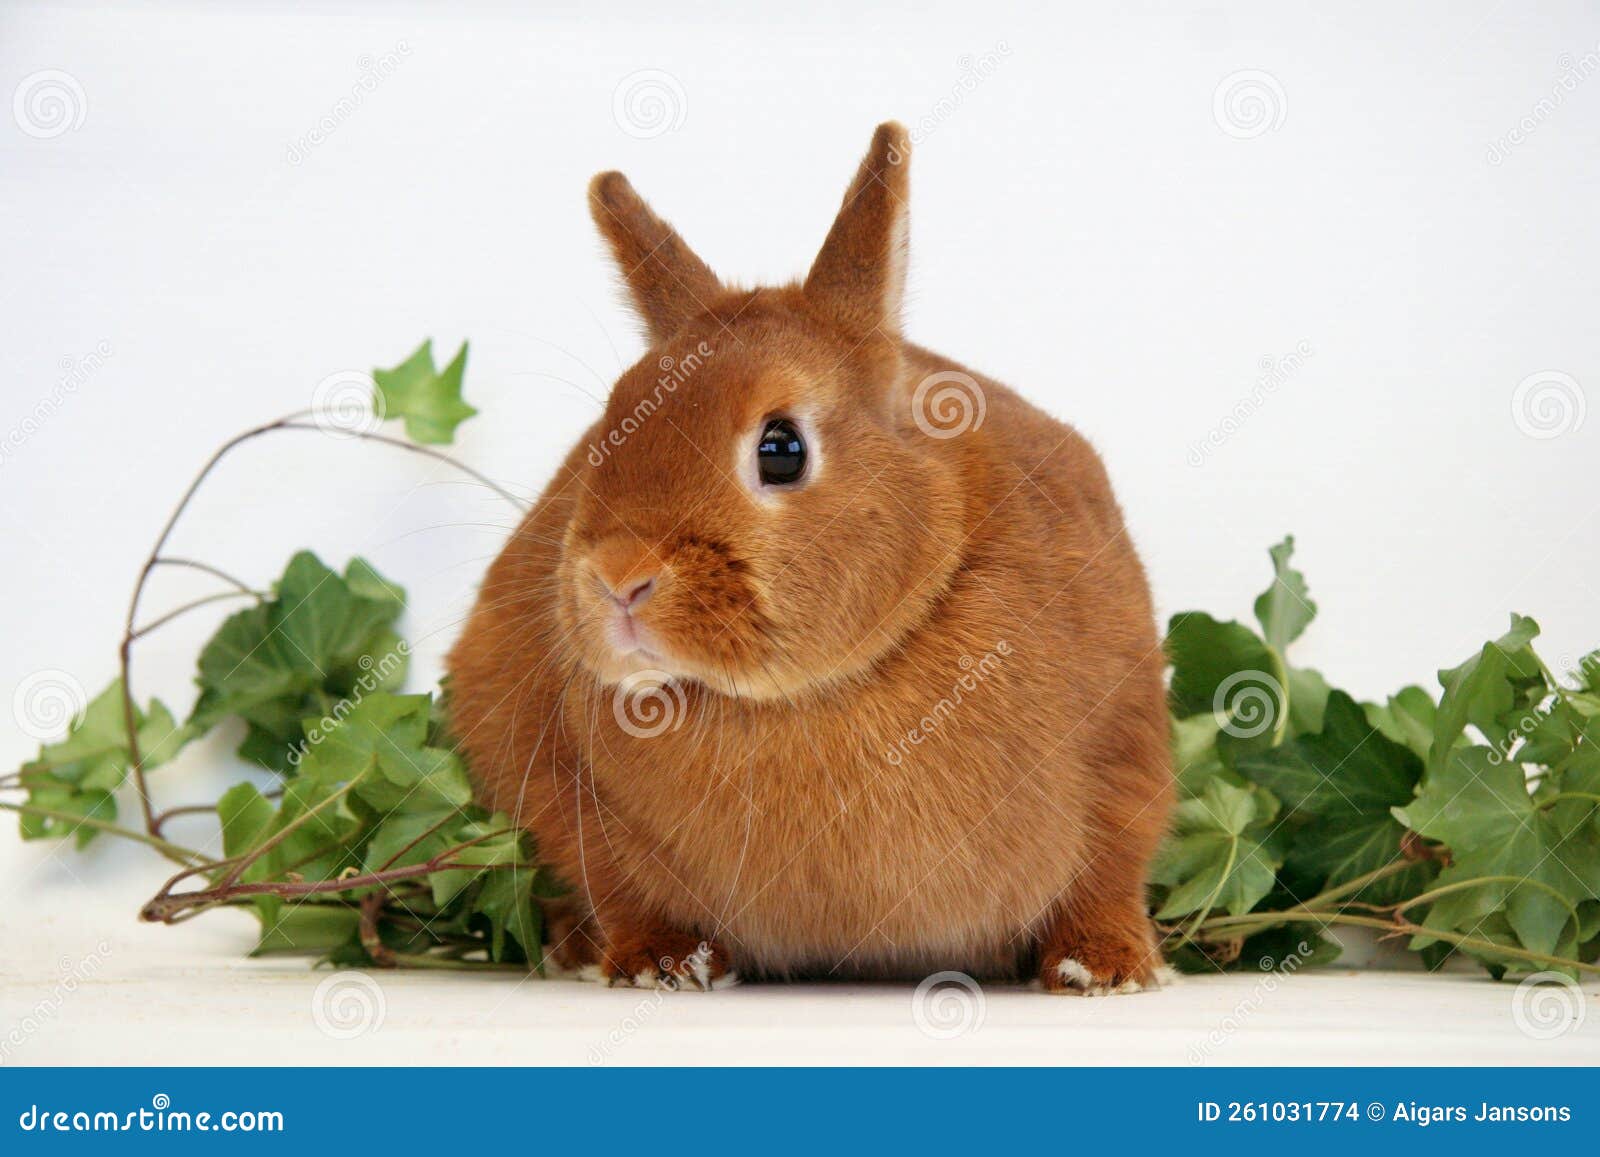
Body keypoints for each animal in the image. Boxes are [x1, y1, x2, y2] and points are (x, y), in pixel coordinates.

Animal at [447, 122, 1174, 994]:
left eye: (782, 448)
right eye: (608, 429)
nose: (618, 578)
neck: (809, 692)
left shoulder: (1124, 739)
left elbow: (1110, 864)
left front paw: (1105, 967)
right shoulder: (562, 789)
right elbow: (616, 884)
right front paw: (659, 962)